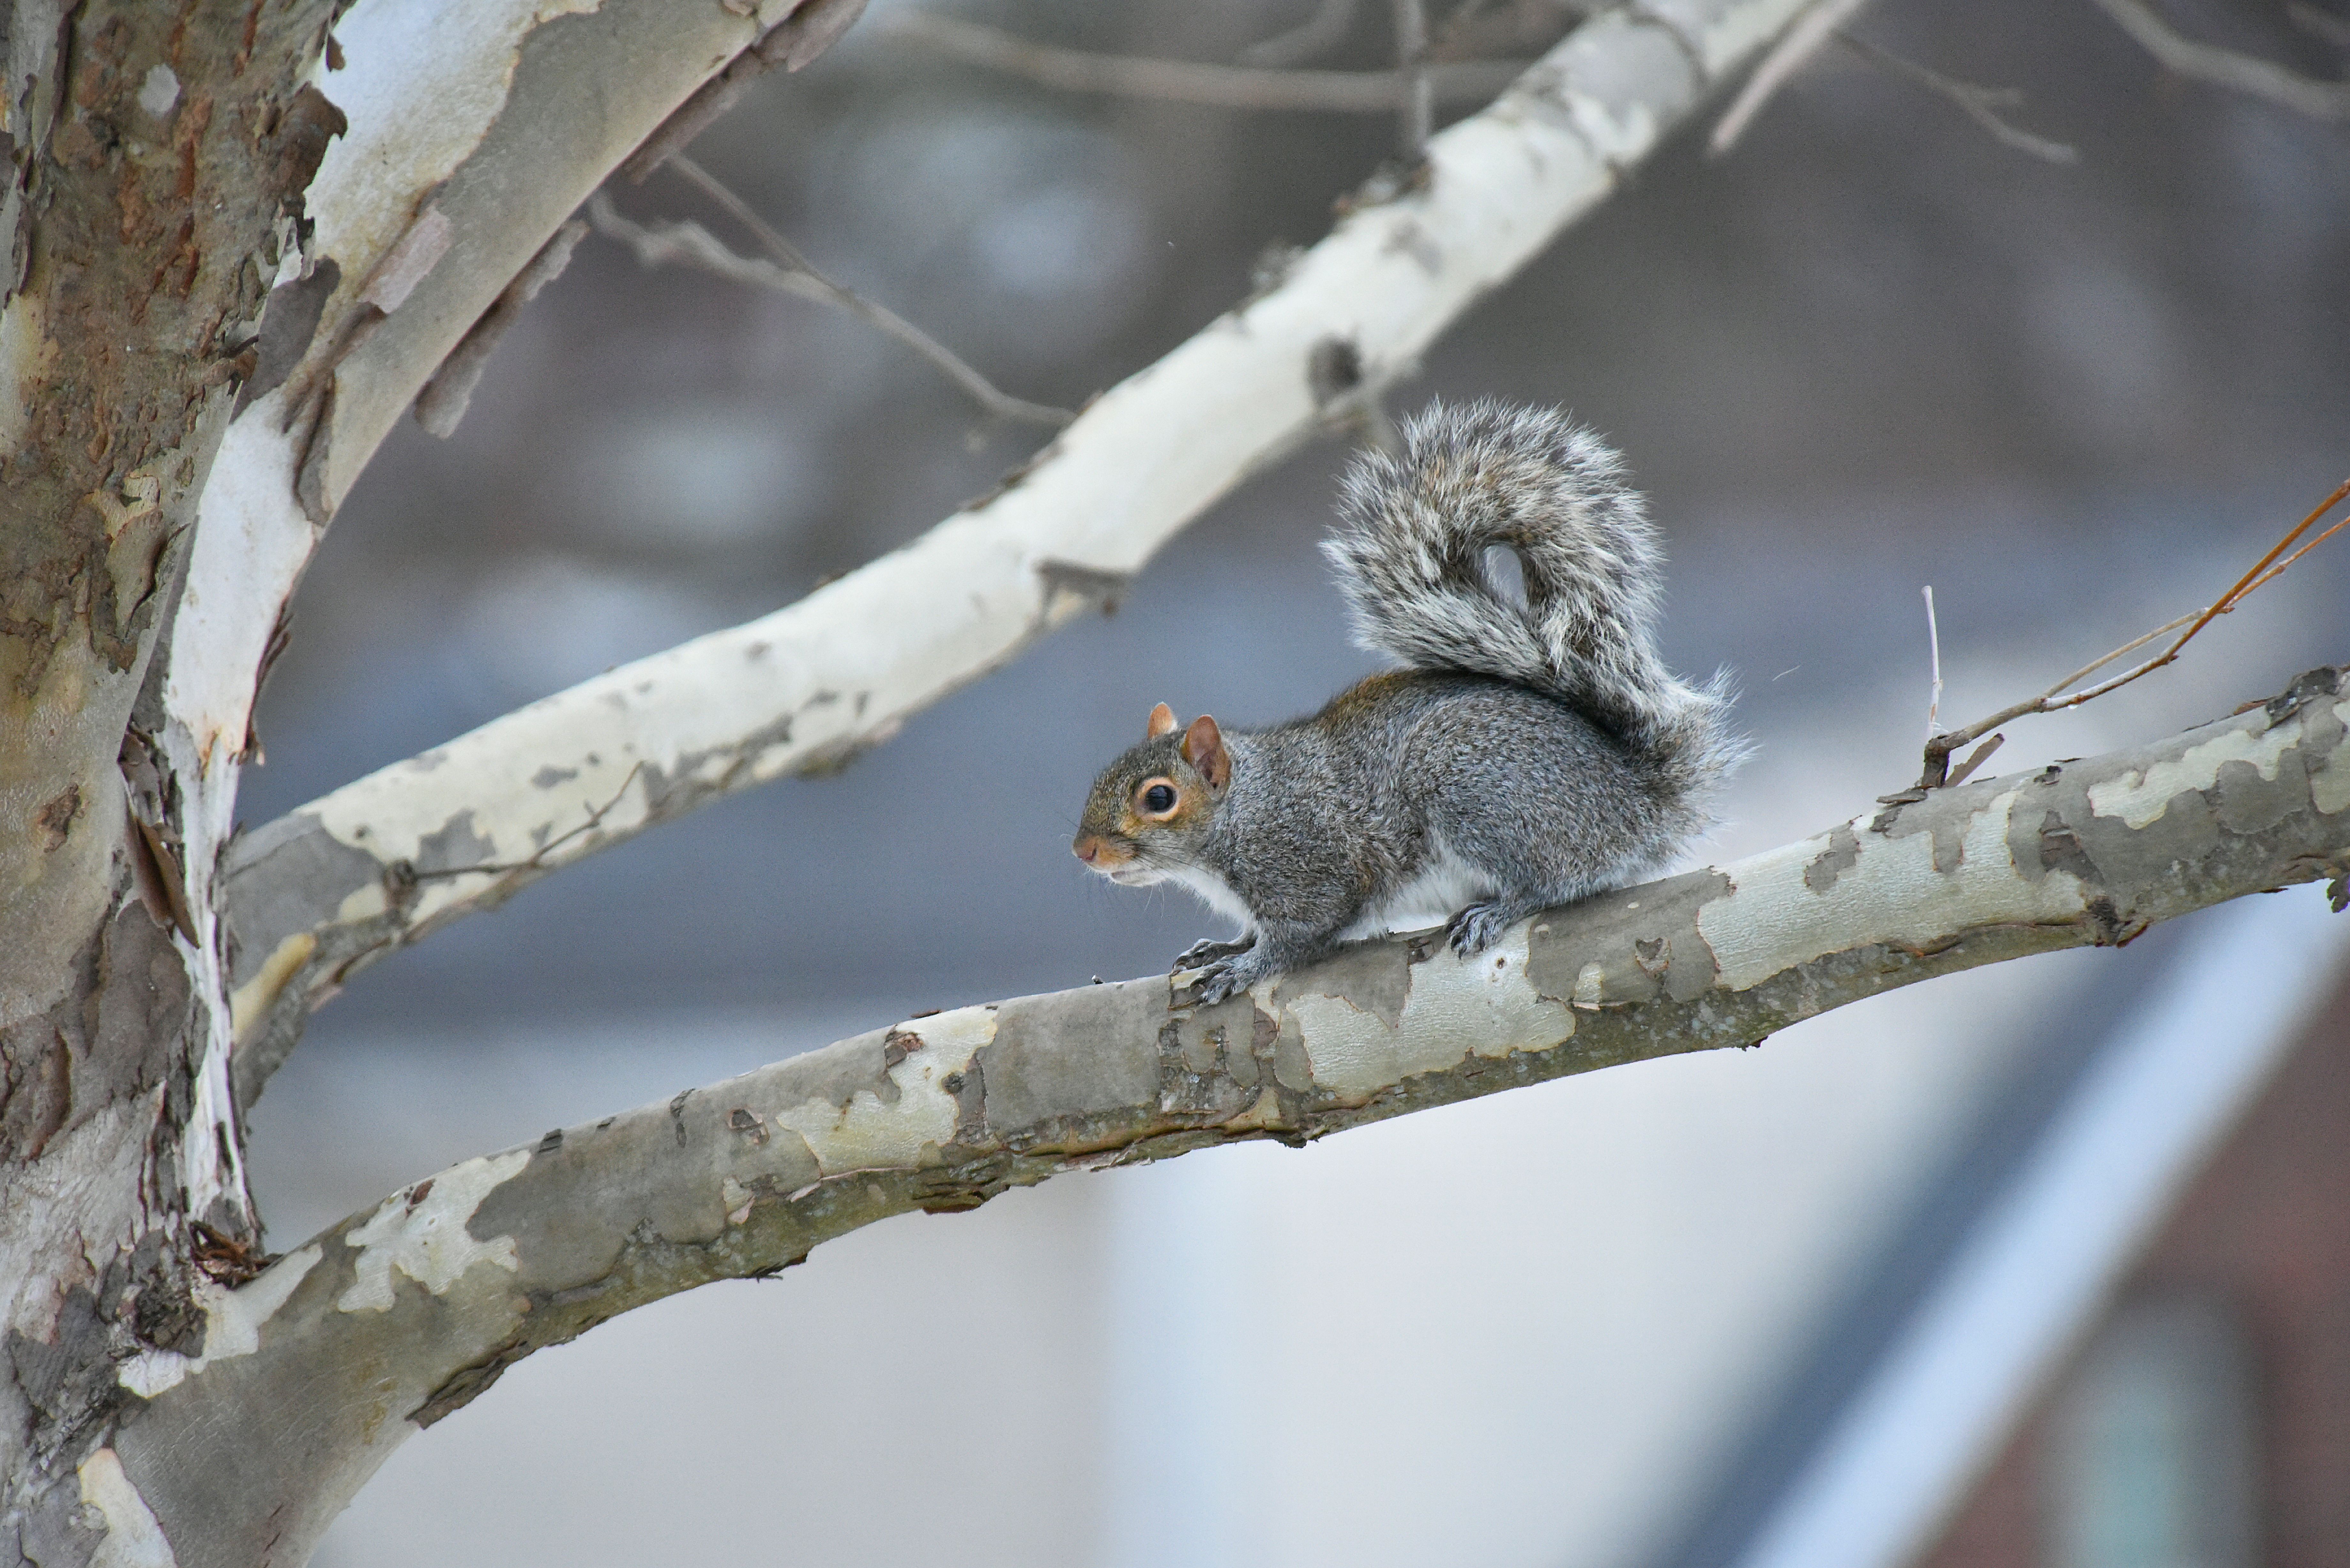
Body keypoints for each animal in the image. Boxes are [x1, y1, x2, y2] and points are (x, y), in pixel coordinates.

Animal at [1072, 399, 1746, 1006]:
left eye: (1160, 798)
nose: (1084, 852)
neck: (1245, 811)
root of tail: (1640, 800)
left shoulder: (1311, 869)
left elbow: (1300, 938)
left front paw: (1244, 967)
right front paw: (1226, 945)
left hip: (1474, 789)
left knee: (1555, 880)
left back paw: (1499, 909)